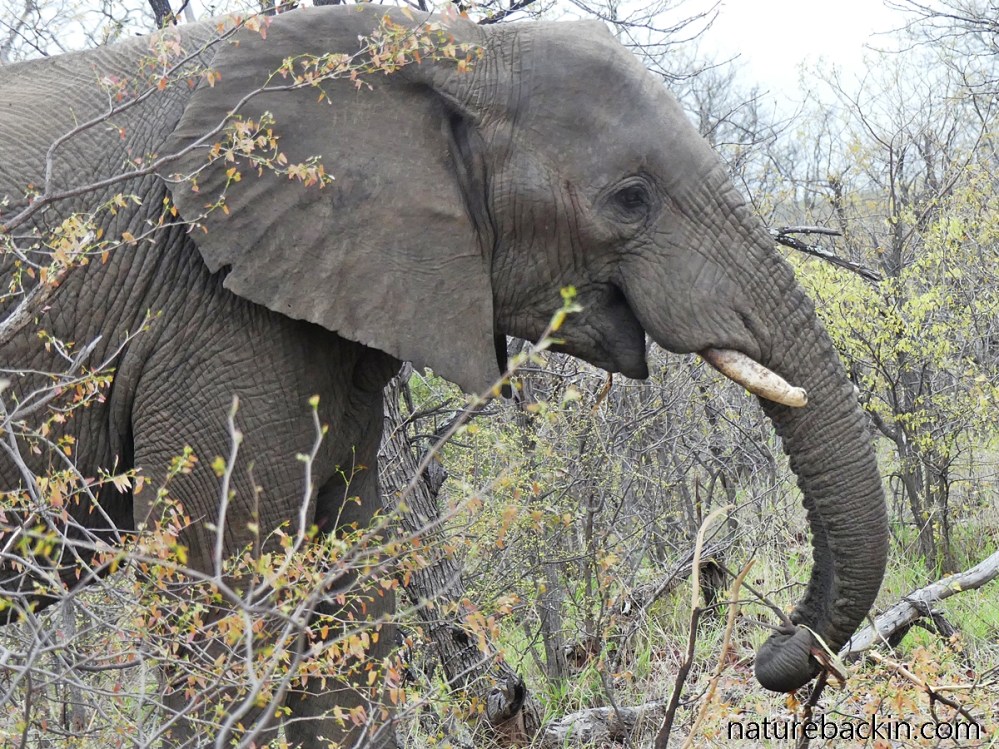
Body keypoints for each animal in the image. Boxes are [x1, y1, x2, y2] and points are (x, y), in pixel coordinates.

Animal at [0, 4, 888, 747]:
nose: (770, 647)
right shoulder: (208, 308)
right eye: (630, 198)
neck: (439, 51)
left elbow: (346, 591)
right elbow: (226, 598)